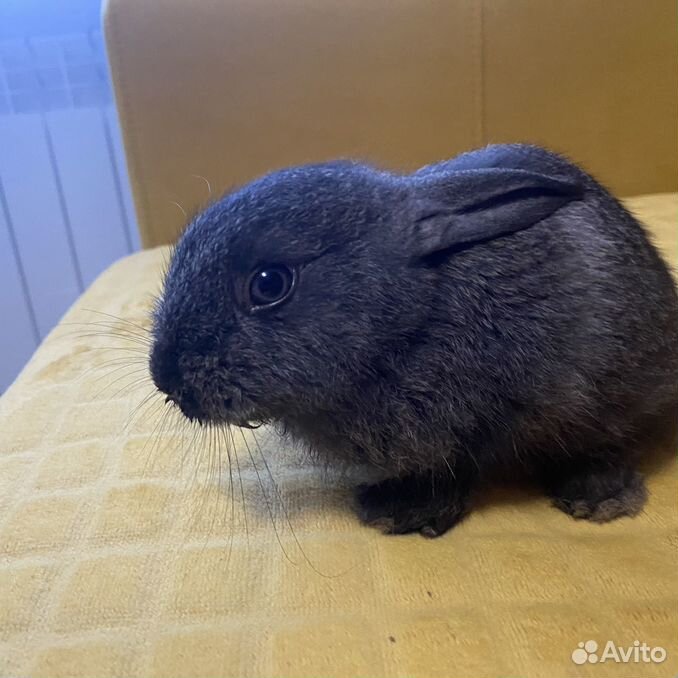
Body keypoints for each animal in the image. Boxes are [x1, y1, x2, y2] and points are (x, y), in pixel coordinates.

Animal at [150, 143, 678, 537]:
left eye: (269, 284)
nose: (166, 380)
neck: (410, 316)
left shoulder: (484, 420)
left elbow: (455, 470)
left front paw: (399, 512)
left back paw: (596, 497)